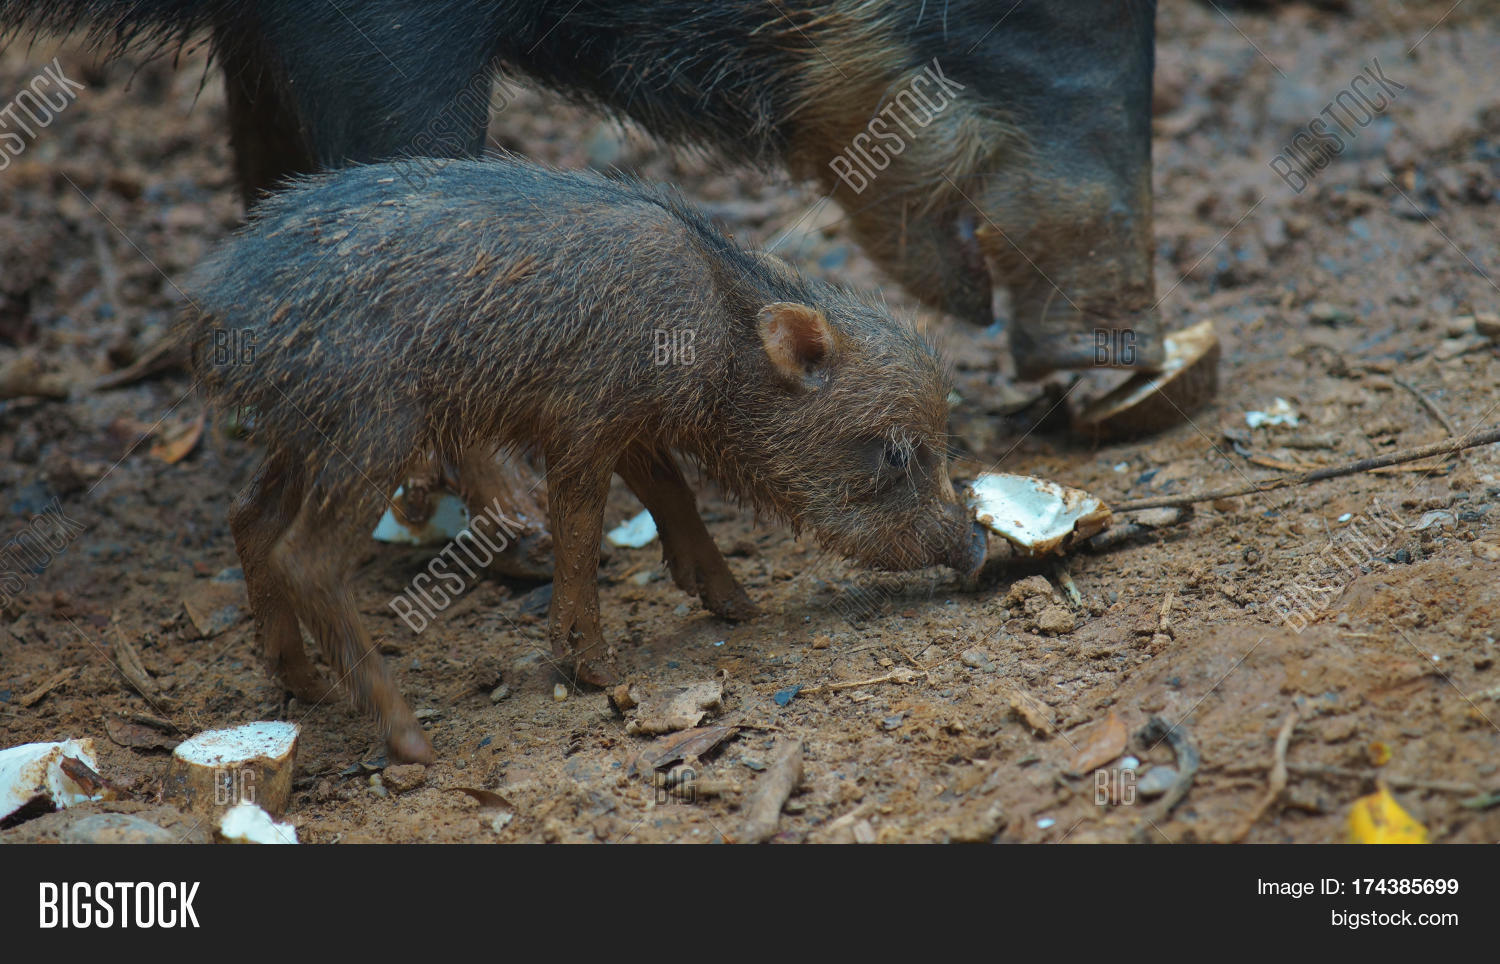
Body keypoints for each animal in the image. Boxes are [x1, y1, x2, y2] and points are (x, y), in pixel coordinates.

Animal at [180, 157, 989, 763]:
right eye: (895, 453)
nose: (978, 545)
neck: (712, 337)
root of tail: (216, 316)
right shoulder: (582, 422)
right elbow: (580, 532)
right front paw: (598, 671)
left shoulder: (631, 425)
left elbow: (671, 493)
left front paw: (738, 606)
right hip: (370, 429)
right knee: (306, 559)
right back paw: (411, 741)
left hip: (303, 434)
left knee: (249, 518)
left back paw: (307, 688)